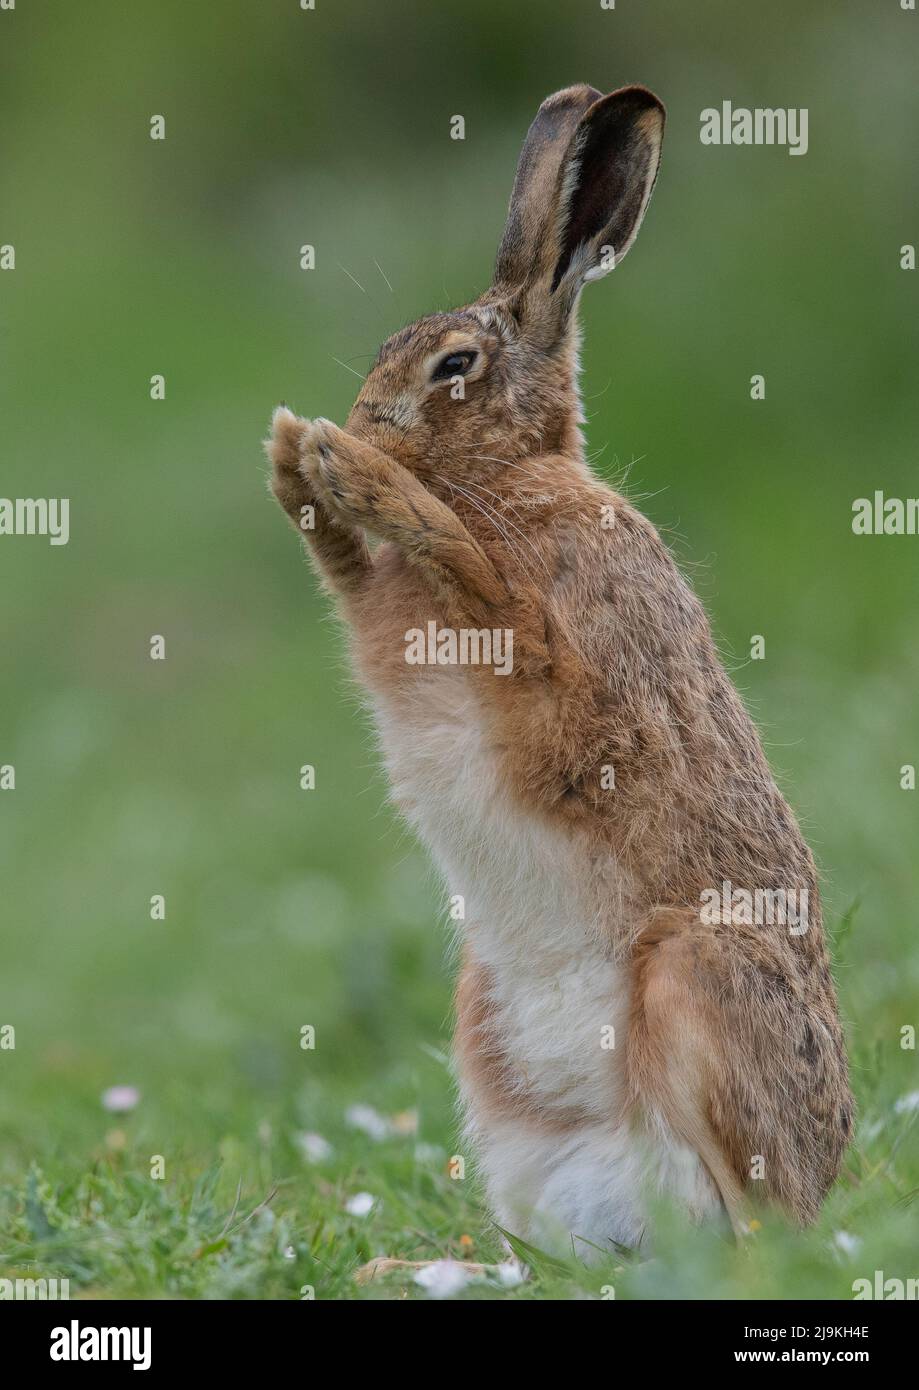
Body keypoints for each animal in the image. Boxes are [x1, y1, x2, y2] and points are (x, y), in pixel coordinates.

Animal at [267, 83, 852, 1261]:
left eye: (454, 366)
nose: (357, 425)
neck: (514, 477)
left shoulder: (576, 688)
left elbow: (486, 591)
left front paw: (359, 475)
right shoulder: (380, 630)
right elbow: (357, 584)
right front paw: (295, 460)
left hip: (695, 973)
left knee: (755, 1231)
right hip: (491, 1058)